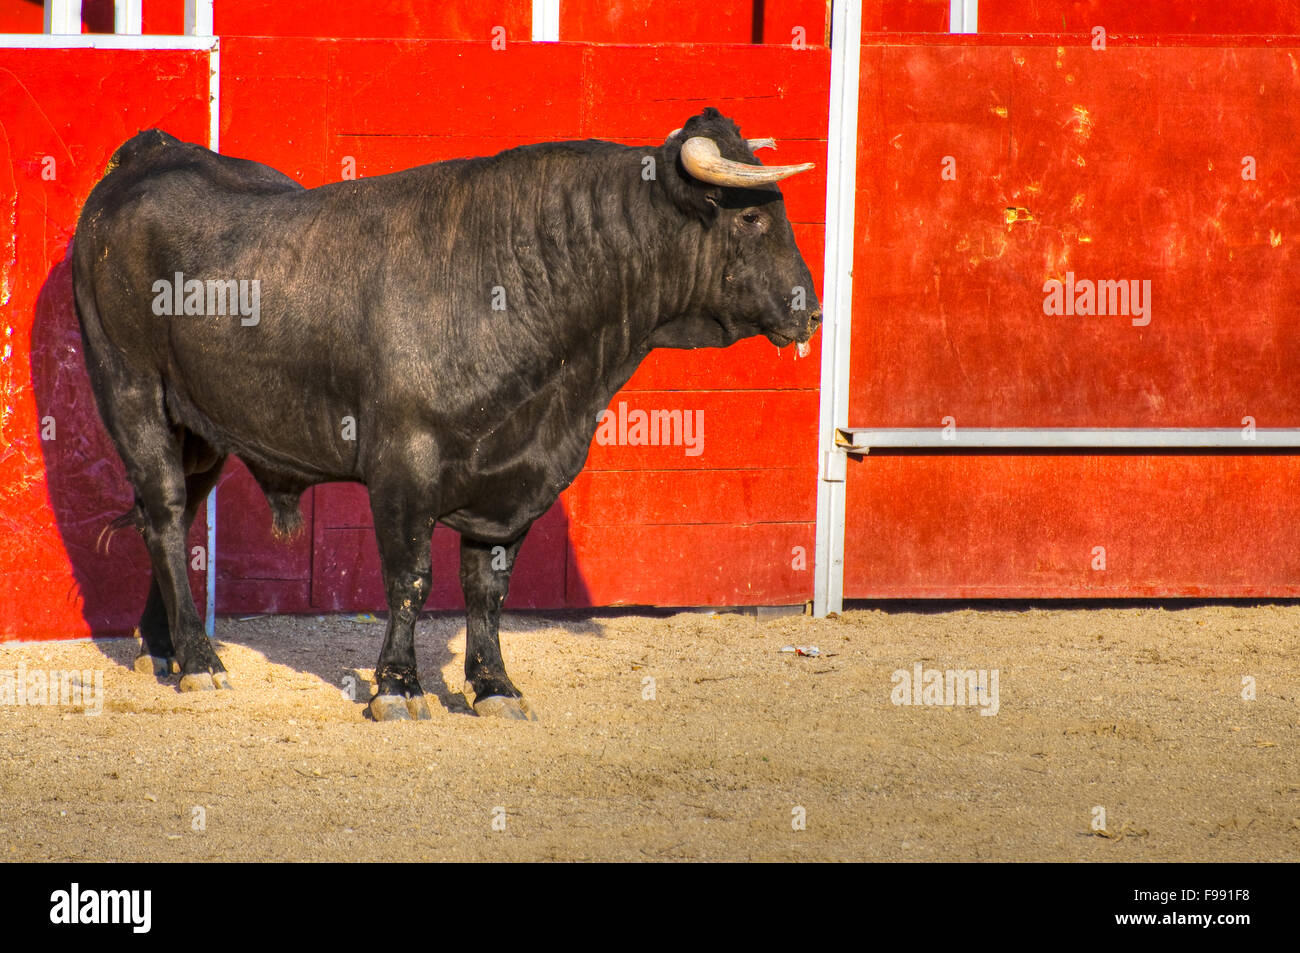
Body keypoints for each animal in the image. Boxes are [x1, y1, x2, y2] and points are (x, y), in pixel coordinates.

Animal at [71, 107, 822, 722]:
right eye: (751, 217)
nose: (810, 310)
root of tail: (151, 152)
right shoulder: (403, 462)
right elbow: (411, 577)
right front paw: (398, 687)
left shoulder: (513, 476)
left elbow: (487, 586)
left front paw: (495, 686)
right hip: (129, 386)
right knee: (166, 510)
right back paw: (200, 659)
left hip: (200, 424)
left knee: (174, 512)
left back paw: (165, 646)